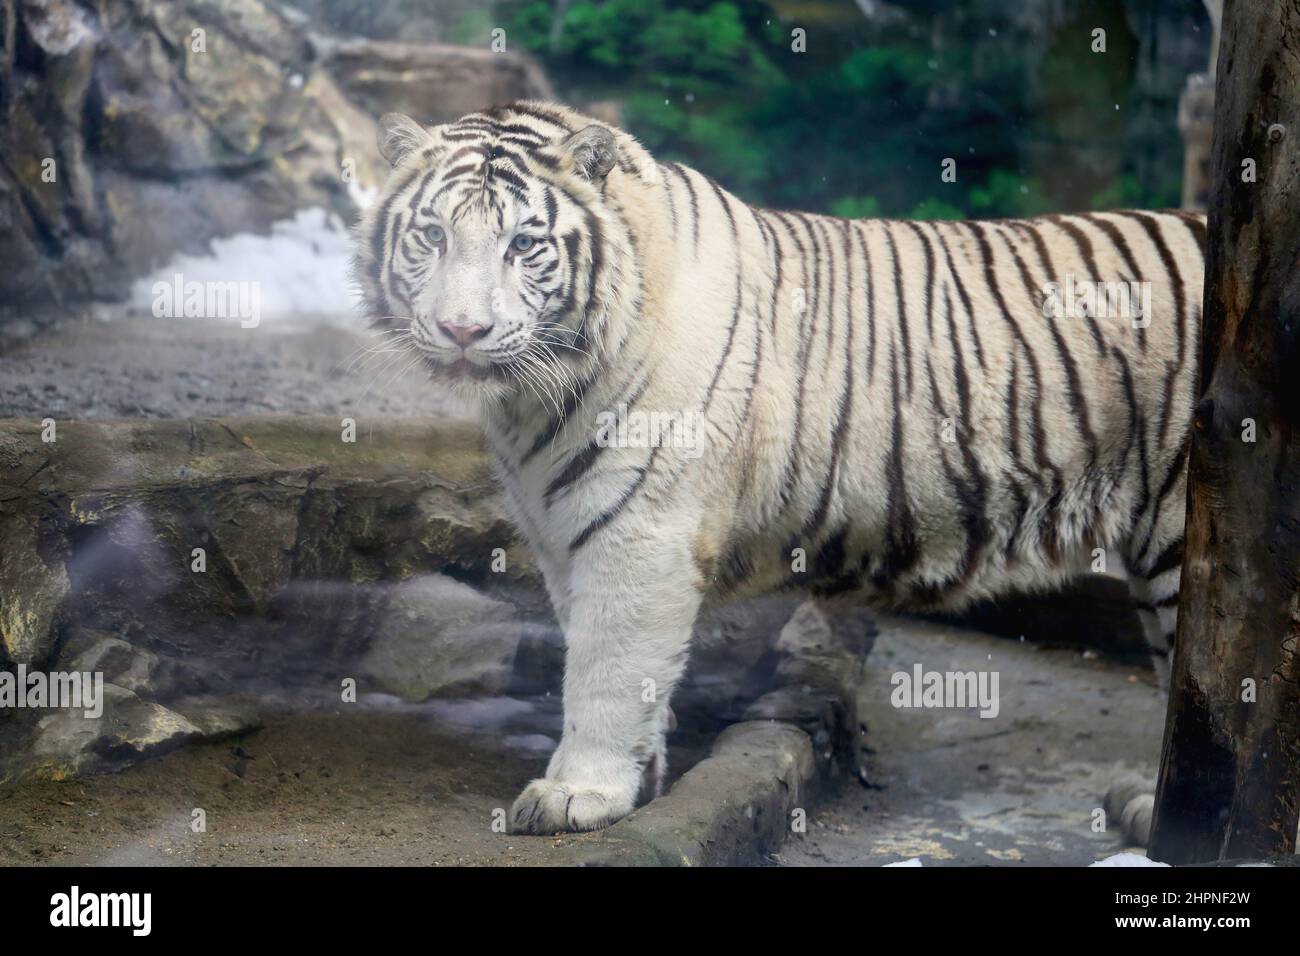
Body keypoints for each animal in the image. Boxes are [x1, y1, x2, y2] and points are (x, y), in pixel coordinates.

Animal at [351, 101, 1205, 835]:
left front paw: (578, 795)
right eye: (431, 235)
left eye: (523, 246)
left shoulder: (640, 534)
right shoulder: (564, 533)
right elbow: (614, 663)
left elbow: (604, 669)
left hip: (1177, 535)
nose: (463, 330)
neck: (530, 398)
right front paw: (639, 775)